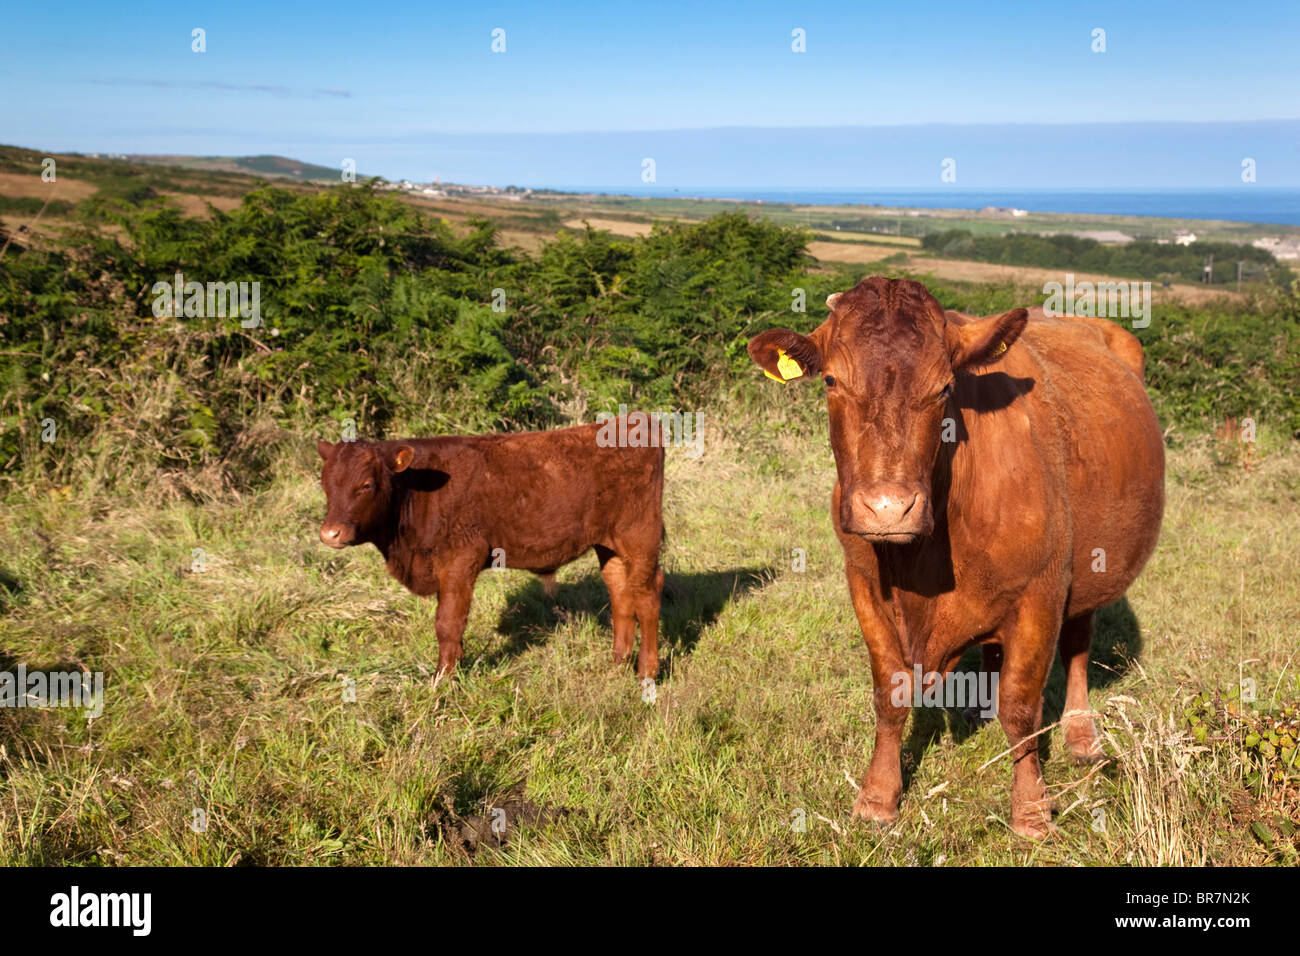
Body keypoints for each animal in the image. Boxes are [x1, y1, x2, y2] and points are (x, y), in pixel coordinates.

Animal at [316, 417, 665, 680]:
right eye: (325, 484)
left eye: (366, 485)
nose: (330, 533)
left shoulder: (460, 559)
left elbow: (448, 622)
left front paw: (442, 679)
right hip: (609, 544)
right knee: (621, 594)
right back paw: (617, 665)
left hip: (640, 537)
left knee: (647, 596)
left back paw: (647, 672)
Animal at [748, 277, 1164, 838]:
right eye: (832, 380)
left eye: (946, 387)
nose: (888, 507)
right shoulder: (863, 584)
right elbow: (890, 694)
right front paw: (877, 798)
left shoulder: (1042, 592)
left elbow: (1022, 706)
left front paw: (1031, 812)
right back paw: (978, 709)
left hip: (1087, 573)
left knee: (1077, 645)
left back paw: (1081, 737)